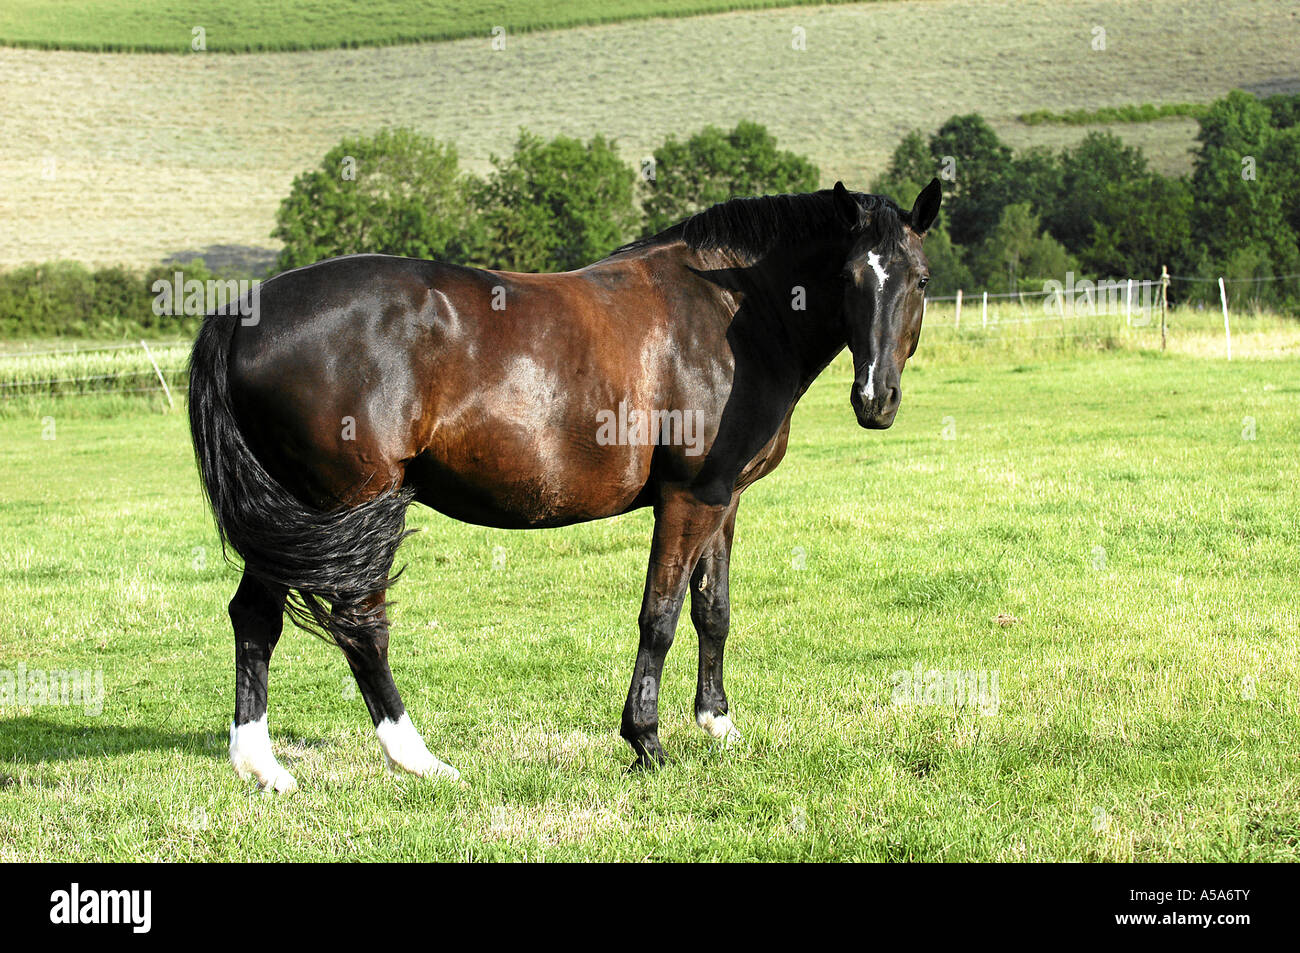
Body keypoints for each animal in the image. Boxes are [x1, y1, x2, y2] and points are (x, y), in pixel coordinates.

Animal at [188, 178, 942, 790]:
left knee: (254, 618)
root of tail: (245, 311)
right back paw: (419, 759)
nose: (876, 400)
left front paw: (718, 725)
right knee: (360, 625)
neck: (728, 313)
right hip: (351, 509)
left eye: (921, 279)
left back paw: (262, 766)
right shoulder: (688, 498)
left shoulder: (725, 498)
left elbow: (713, 611)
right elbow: (660, 617)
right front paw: (646, 742)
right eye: (849, 276)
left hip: (295, 518)